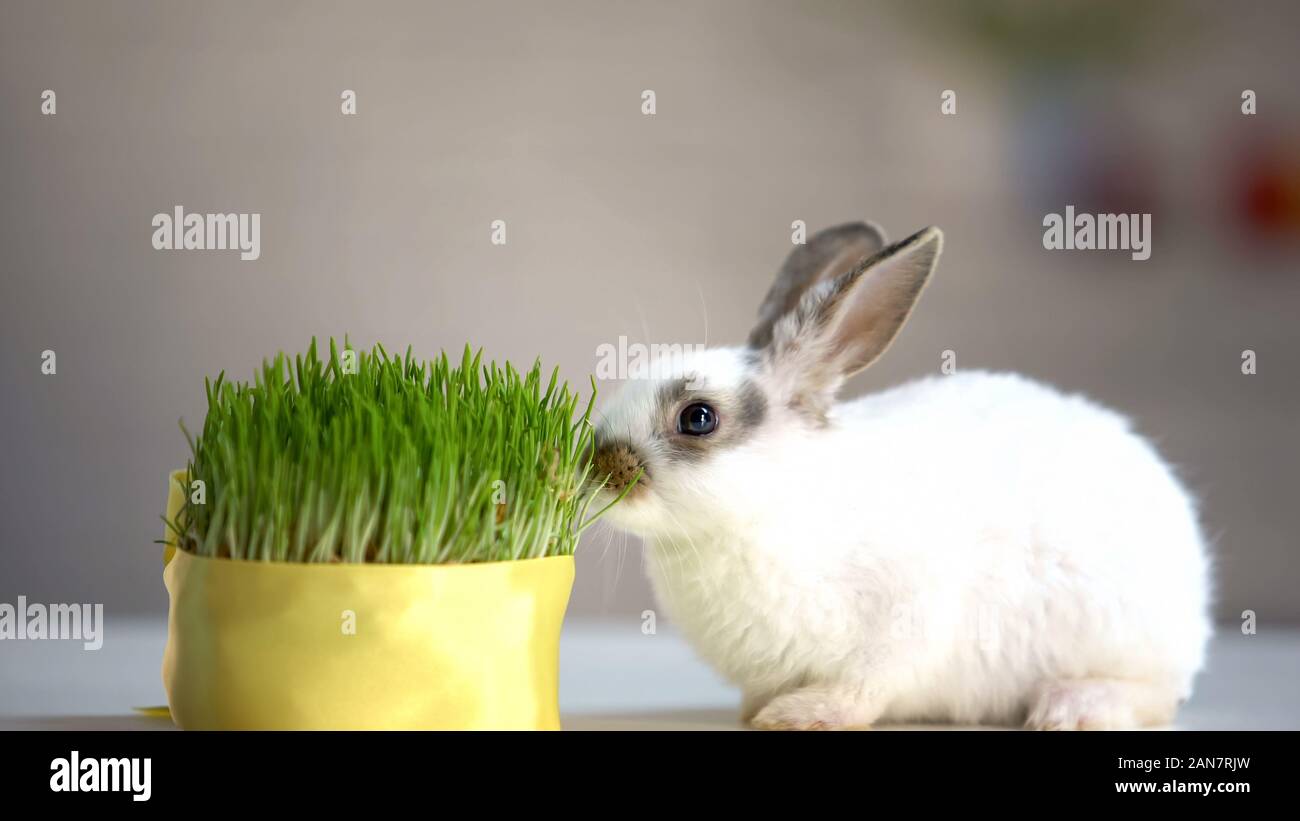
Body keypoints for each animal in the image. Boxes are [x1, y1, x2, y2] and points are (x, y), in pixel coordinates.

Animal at [589, 222, 1212, 730]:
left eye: (698, 418)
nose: (599, 469)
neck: (775, 501)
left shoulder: (905, 622)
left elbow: (866, 687)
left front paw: (800, 715)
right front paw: (755, 711)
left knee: (1154, 696)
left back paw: (1070, 708)